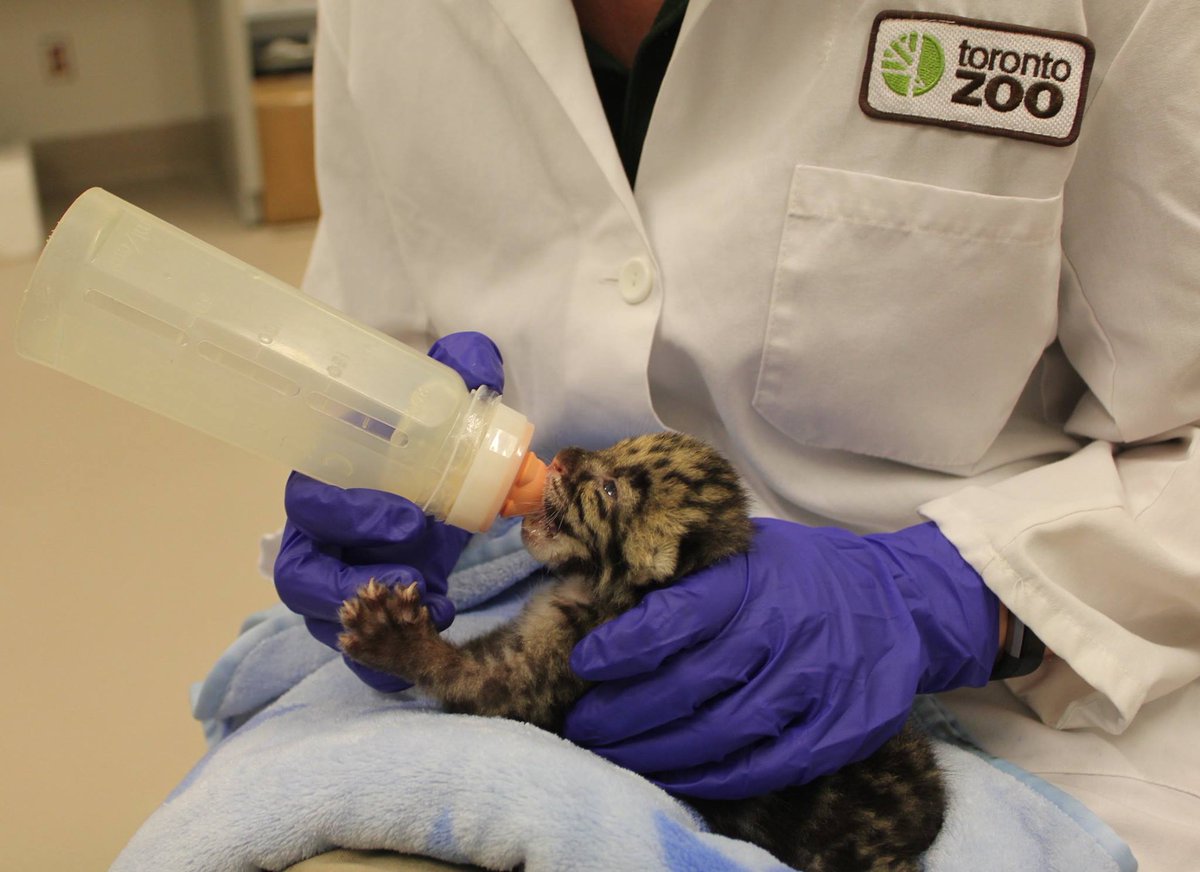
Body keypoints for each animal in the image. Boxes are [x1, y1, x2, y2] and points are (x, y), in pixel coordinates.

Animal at [338, 431, 945, 871]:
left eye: (609, 490)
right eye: (612, 450)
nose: (562, 457)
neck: (598, 587)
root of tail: (929, 811)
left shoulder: (539, 685)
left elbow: (472, 682)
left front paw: (389, 636)